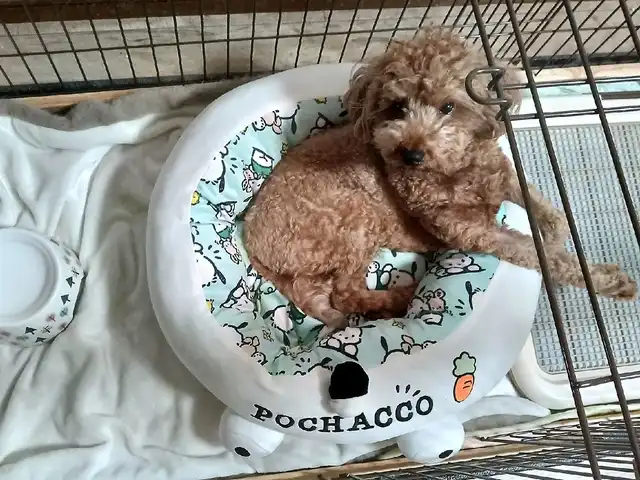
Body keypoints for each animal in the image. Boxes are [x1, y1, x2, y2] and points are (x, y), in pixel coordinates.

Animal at [244, 27, 636, 329]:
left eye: (449, 107)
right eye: (397, 107)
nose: (411, 153)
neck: (454, 172)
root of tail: (250, 237)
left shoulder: (504, 177)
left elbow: (550, 216)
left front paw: (554, 240)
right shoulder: (476, 233)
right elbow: (538, 256)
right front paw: (610, 281)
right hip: (353, 219)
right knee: (345, 295)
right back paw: (402, 296)